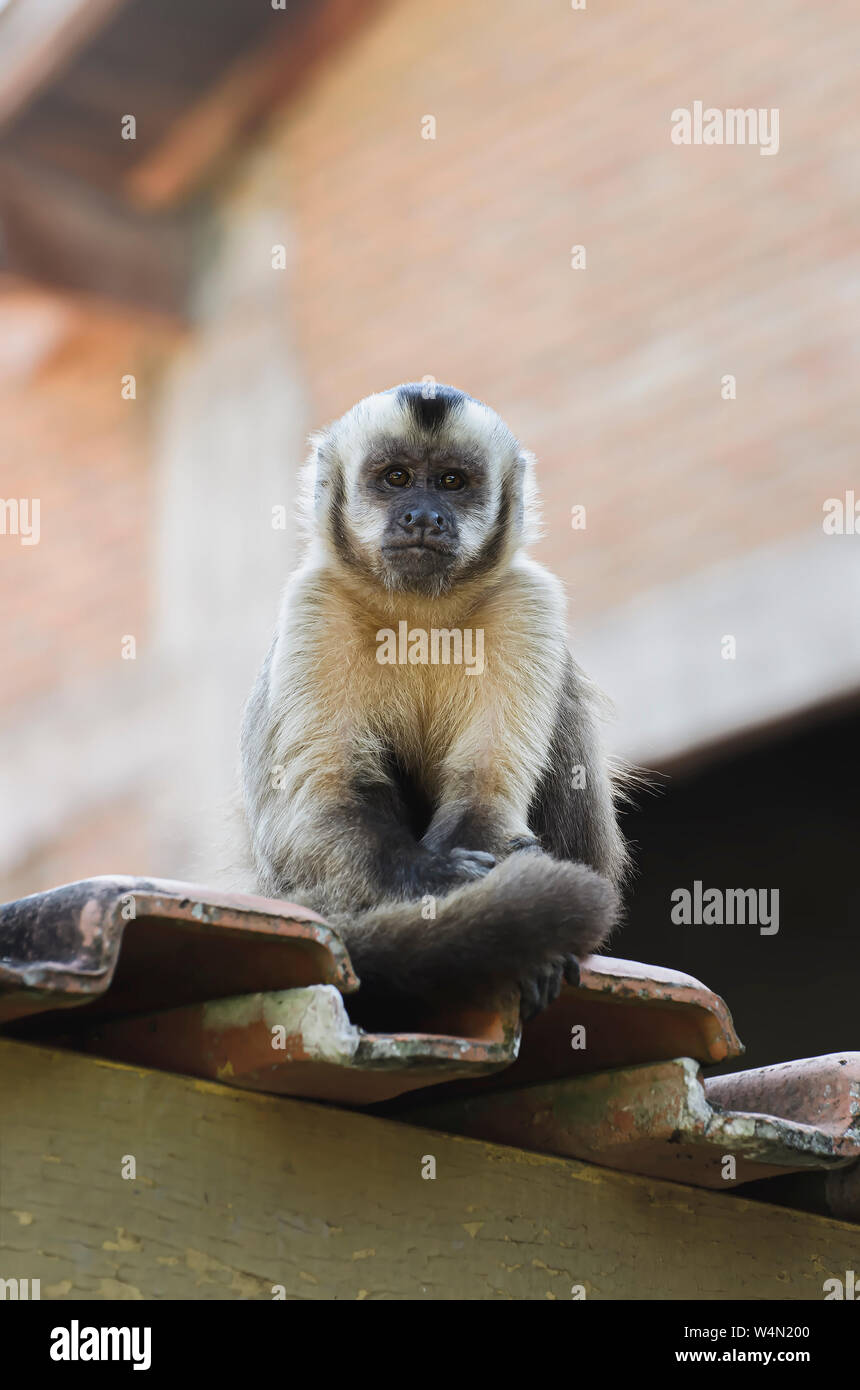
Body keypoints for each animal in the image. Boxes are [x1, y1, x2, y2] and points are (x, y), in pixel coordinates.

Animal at [239, 383, 629, 1030]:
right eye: (396, 478)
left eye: (451, 482)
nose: (423, 515)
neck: (419, 614)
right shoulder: (315, 602)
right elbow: (328, 802)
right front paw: (435, 881)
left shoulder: (527, 600)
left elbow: (485, 788)